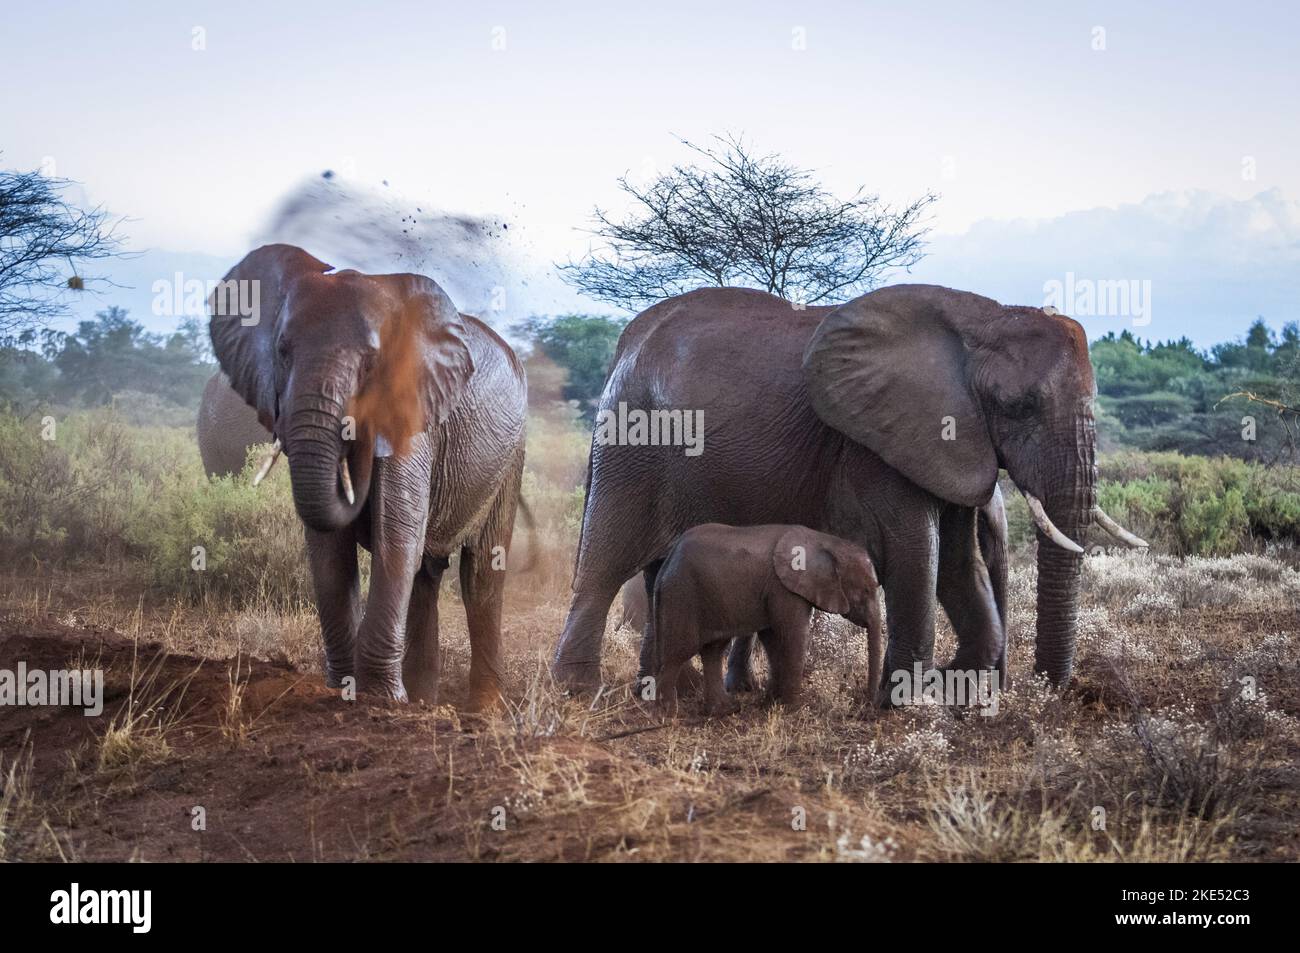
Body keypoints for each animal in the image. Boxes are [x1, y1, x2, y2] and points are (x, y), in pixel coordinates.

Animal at [209, 244, 528, 707]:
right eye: (282, 352)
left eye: (371, 364)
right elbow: (329, 551)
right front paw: (343, 691)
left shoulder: (413, 415)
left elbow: (396, 532)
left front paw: (380, 701)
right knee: (426, 575)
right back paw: (423, 700)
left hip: (511, 457)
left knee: (482, 573)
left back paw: (483, 712)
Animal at [552, 284, 1146, 696]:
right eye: (1018, 406)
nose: (1048, 689)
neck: (982, 316)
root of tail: (625, 343)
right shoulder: (877, 442)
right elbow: (916, 555)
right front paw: (904, 704)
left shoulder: (951, 446)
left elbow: (958, 566)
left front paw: (950, 688)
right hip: (632, 445)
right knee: (604, 563)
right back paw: (581, 691)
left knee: (656, 576)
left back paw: (660, 690)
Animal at [650, 523, 883, 716]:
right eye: (866, 590)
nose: (865, 708)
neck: (825, 542)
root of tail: (667, 561)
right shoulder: (784, 589)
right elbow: (792, 635)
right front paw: (792, 709)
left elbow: (772, 638)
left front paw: (771, 703)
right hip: (682, 594)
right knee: (680, 651)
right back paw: (667, 715)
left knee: (713, 651)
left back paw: (724, 710)